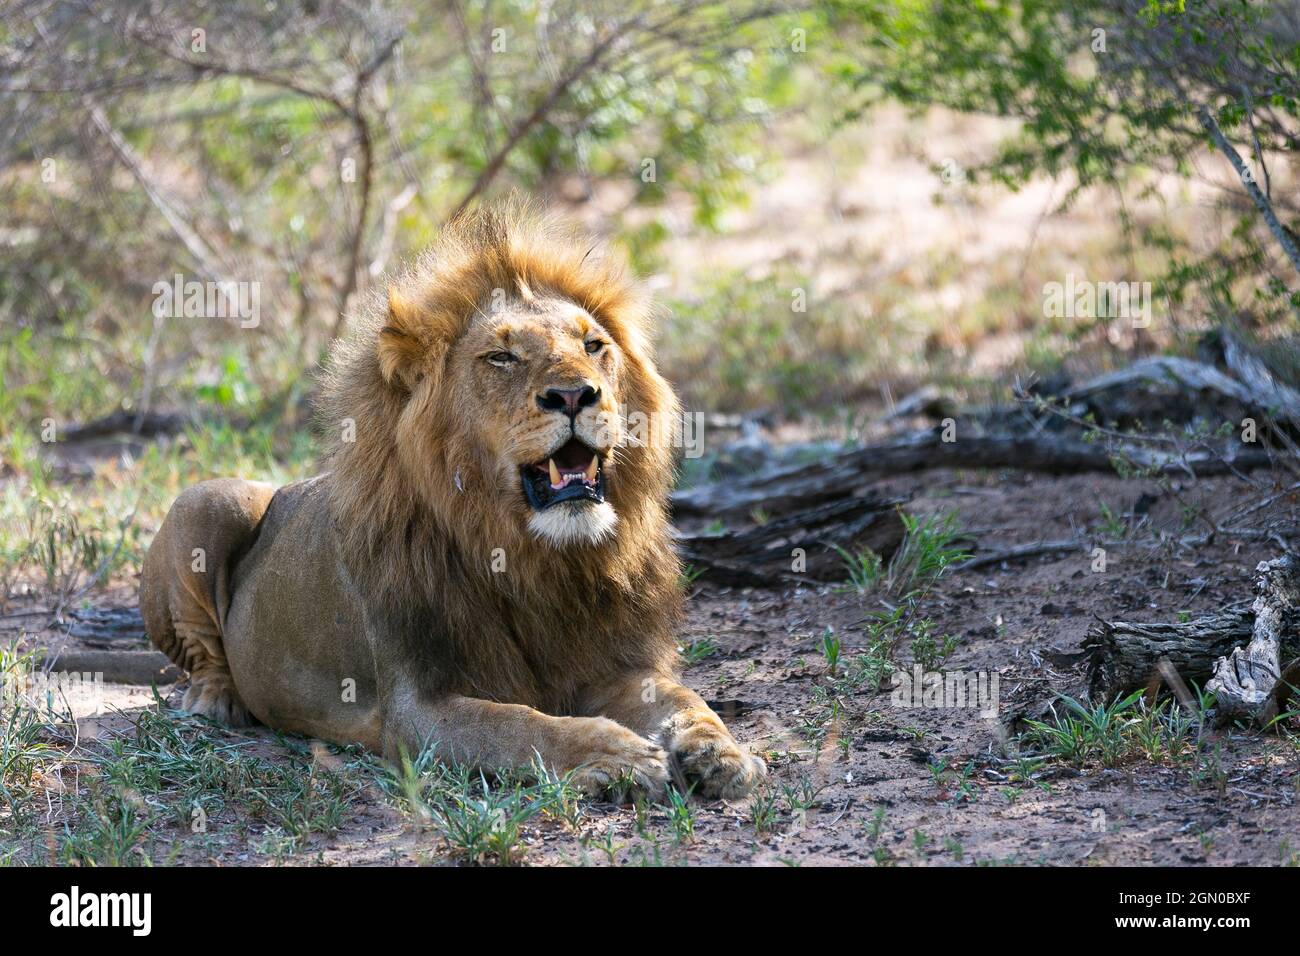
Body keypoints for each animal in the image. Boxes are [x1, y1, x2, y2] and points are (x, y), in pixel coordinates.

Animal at [139, 200, 765, 800]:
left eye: (594, 346)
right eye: (502, 358)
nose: (574, 395)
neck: (536, 556)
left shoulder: (617, 666)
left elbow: (684, 699)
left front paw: (723, 752)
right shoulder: (416, 711)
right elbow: (523, 725)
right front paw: (618, 756)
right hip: (208, 500)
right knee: (203, 652)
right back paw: (216, 701)